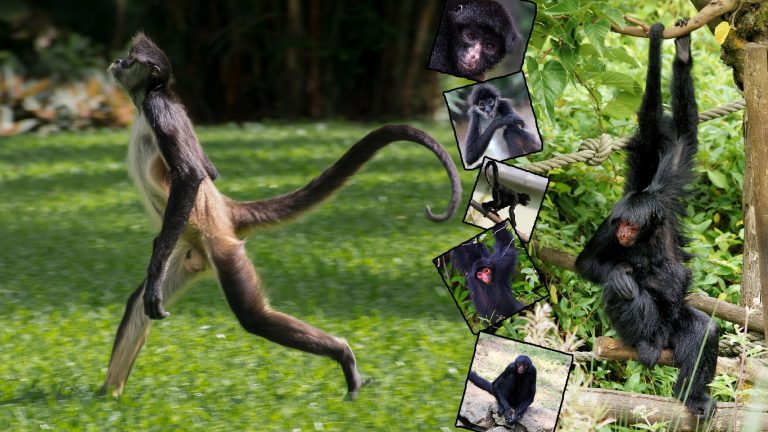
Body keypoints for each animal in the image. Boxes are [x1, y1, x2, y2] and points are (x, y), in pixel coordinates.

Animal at [101, 32, 462, 400]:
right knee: (135, 305)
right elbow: (208, 173)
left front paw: (155, 265)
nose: (116, 62)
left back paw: (344, 355)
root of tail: (225, 210)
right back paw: (107, 396)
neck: (146, 100)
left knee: (253, 317)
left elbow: (193, 175)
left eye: (130, 60)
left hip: (222, 248)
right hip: (190, 253)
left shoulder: (160, 109)